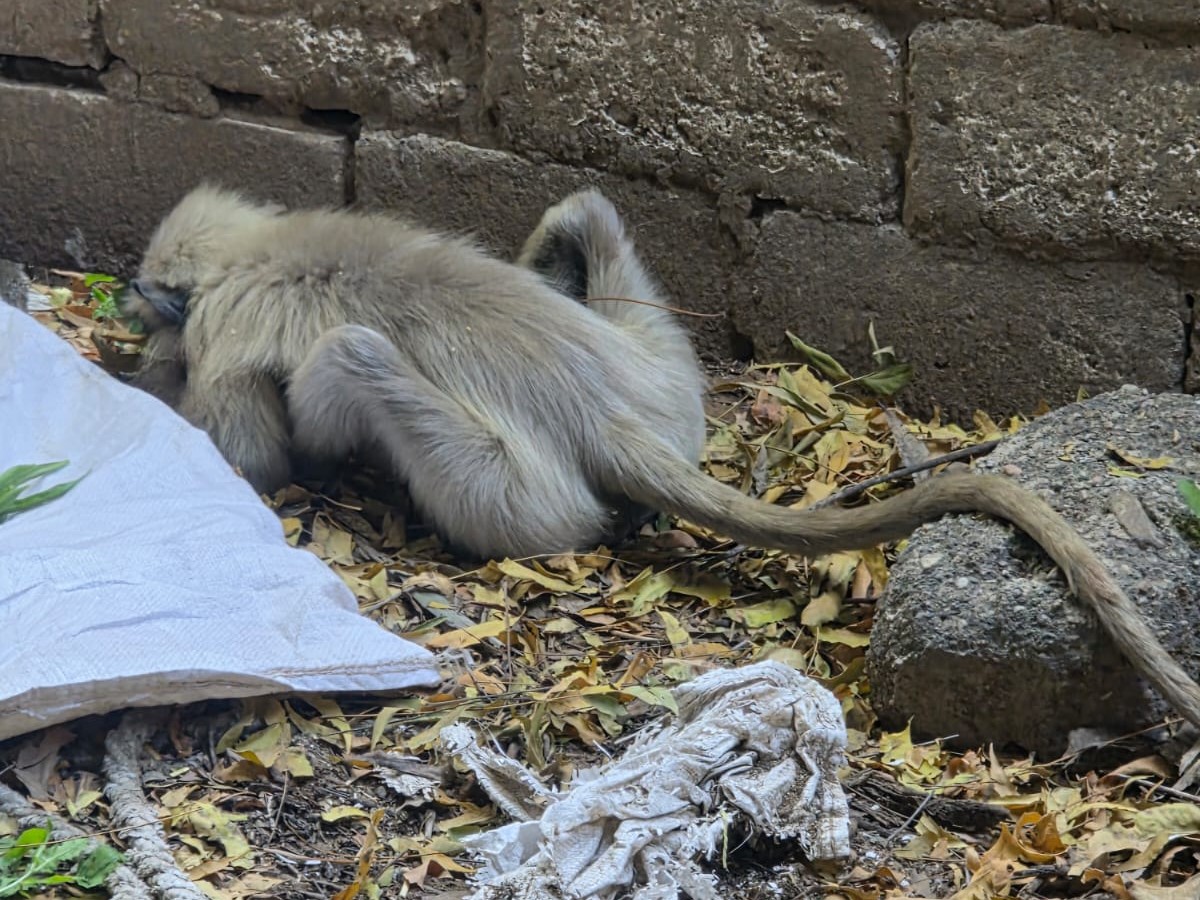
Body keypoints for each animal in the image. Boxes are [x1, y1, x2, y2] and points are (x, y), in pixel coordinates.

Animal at [123, 184, 1200, 732]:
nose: (136, 323)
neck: (258, 251)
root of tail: (613, 411)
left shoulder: (225, 335)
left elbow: (246, 451)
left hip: (518, 496)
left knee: (351, 354)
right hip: (666, 370)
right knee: (583, 206)